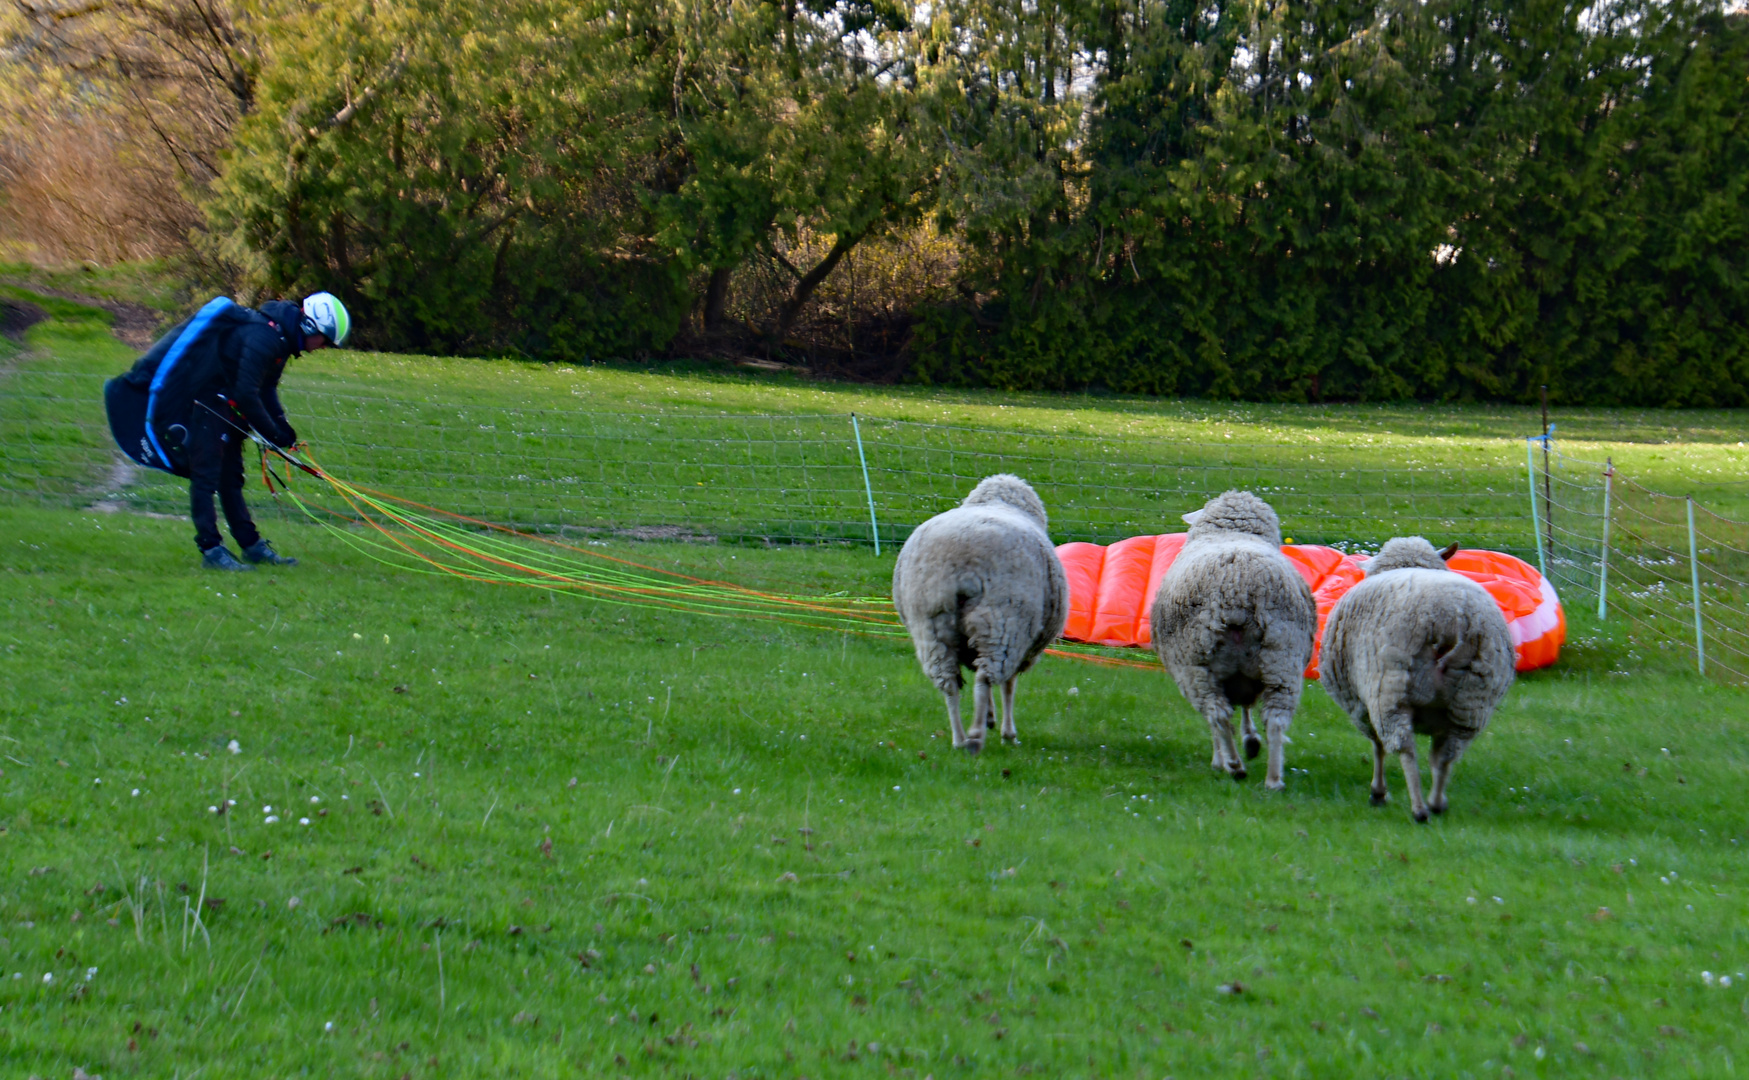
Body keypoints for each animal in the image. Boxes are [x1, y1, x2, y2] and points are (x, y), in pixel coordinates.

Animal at [895, 472, 1070, 749]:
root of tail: (959, 564)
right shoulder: (1022, 644)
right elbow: (1009, 686)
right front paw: (1007, 732)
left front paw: (991, 717)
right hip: (1002, 622)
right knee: (985, 678)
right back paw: (976, 734)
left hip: (931, 624)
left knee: (949, 684)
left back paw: (959, 739)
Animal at [1147, 493, 1315, 787]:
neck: (1231, 531)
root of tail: (1236, 589)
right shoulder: (1247, 677)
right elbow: (1247, 707)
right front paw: (1251, 741)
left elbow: (1221, 720)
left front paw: (1222, 758)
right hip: (1283, 660)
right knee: (1275, 720)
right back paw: (1273, 780)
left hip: (1195, 667)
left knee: (1218, 715)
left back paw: (1234, 765)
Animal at [1322, 535, 1518, 822]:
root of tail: (1451, 619)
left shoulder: (1360, 704)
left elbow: (1377, 747)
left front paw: (1378, 791)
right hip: (1471, 702)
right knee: (1445, 756)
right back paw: (1436, 803)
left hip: (1390, 690)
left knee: (1405, 750)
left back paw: (1418, 809)